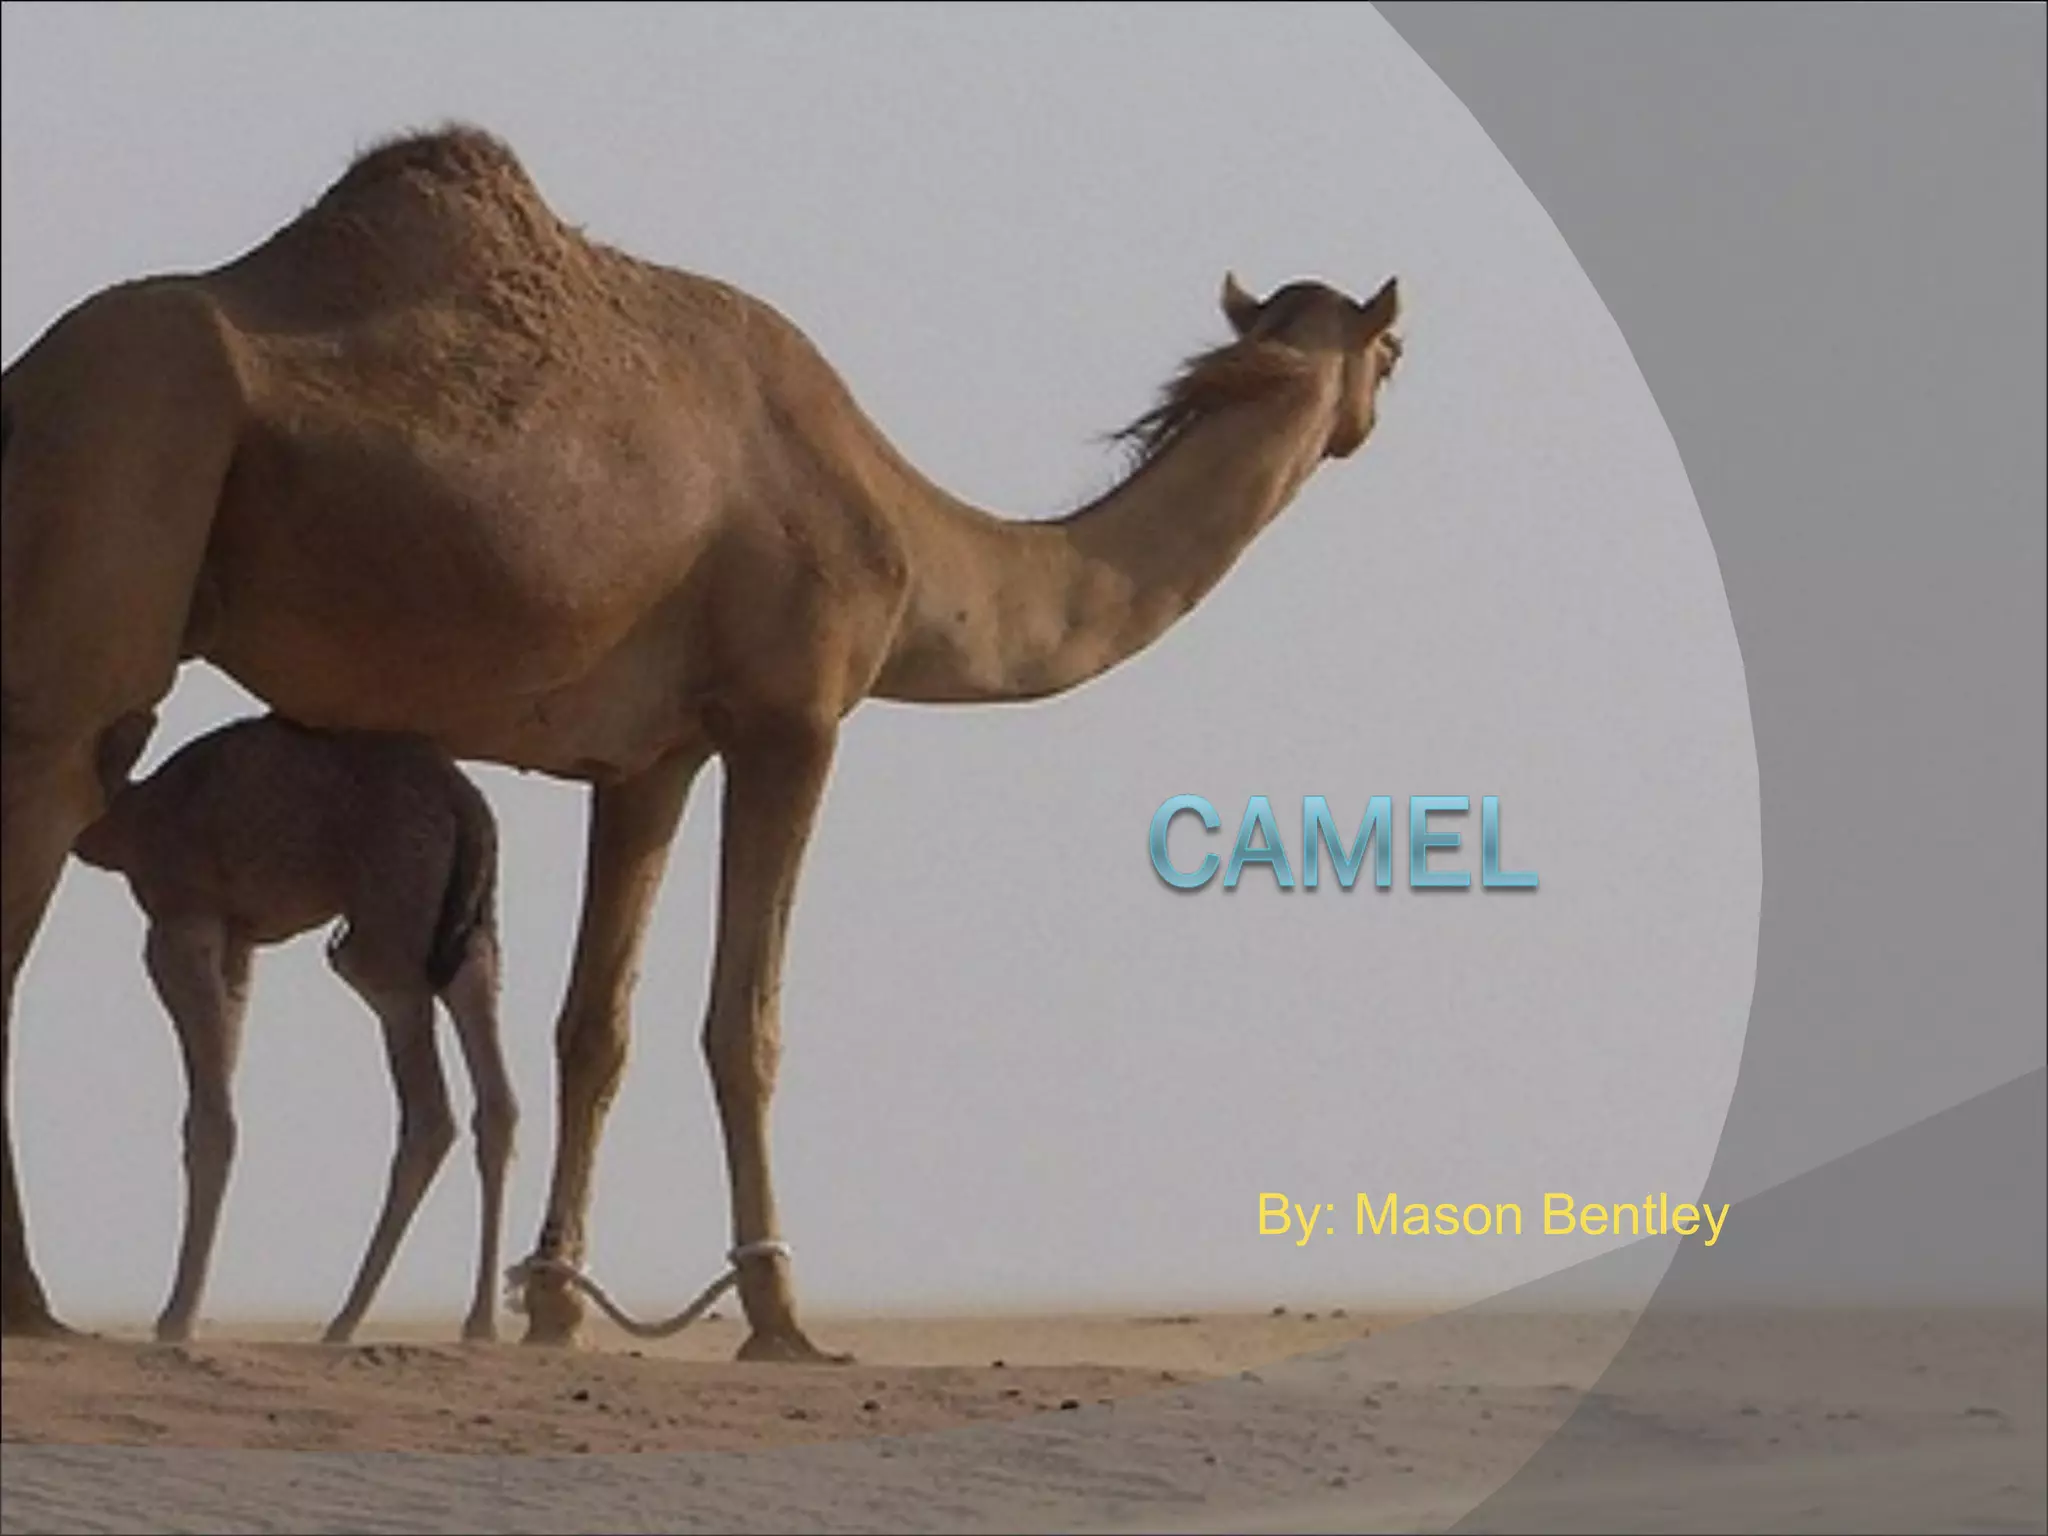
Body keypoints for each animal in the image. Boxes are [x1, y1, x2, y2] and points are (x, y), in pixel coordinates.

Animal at [70, 711, 515, 1345]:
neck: (133, 814)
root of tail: (466, 803)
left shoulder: (184, 916)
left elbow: (211, 1118)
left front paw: (176, 1318)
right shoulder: (238, 938)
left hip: (386, 925)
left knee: (427, 1104)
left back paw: (346, 1320)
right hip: (469, 926)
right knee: (495, 1093)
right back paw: (477, 1321)